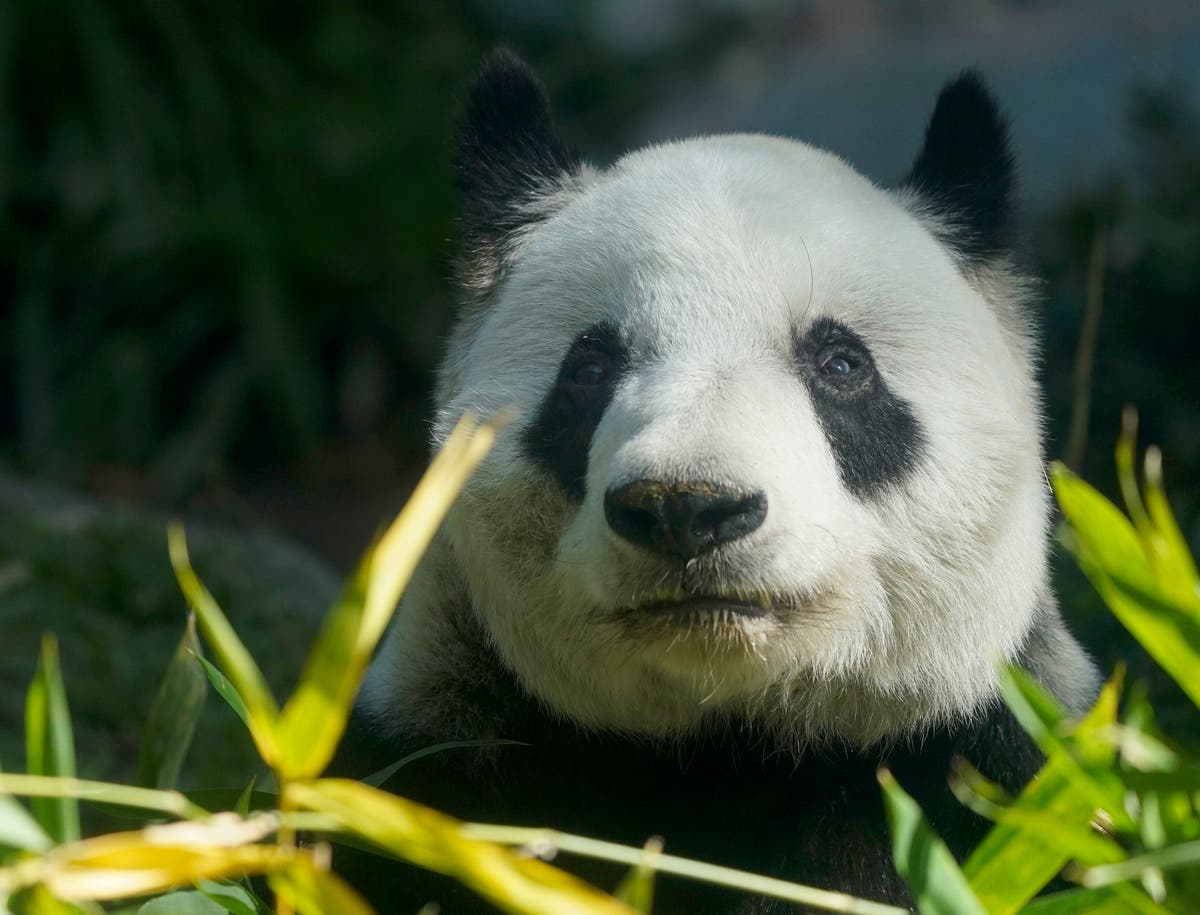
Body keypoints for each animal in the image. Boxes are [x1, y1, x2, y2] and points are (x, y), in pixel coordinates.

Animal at [350, 48, 1100, 913]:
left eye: (841, 364)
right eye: (589, 368)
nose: (688, 507)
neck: (727, 744)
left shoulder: (996, 768)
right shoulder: (438, 769)